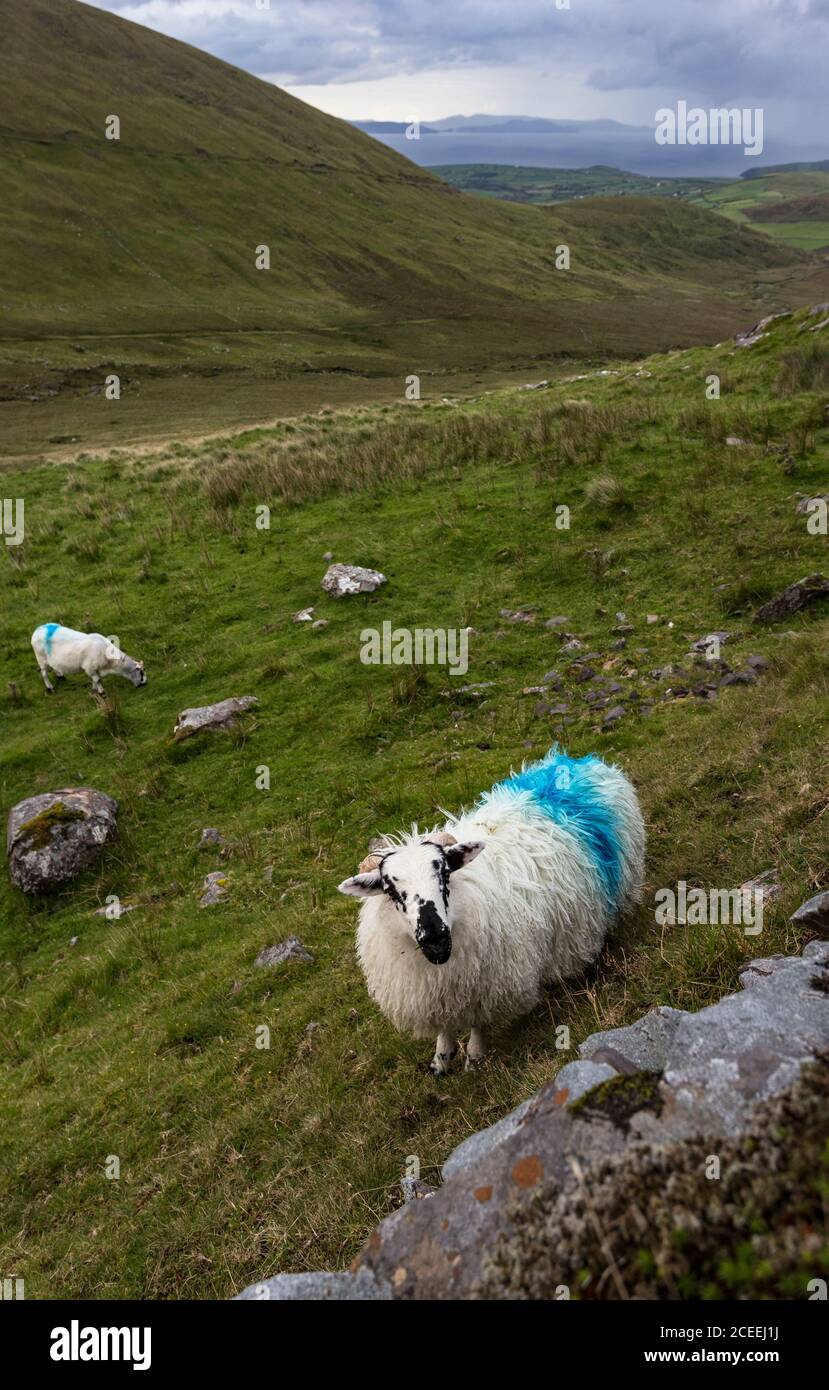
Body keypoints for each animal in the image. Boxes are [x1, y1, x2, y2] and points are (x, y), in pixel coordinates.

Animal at [338, 747, 645, 1074]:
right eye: (390, 889)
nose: (435, 936)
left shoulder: (487, 982)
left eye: (445, 873)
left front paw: (474, 1057)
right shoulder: (435, 992)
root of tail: (574, 762)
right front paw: (441, 1058)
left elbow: (477, 1021)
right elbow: (443, 1026)